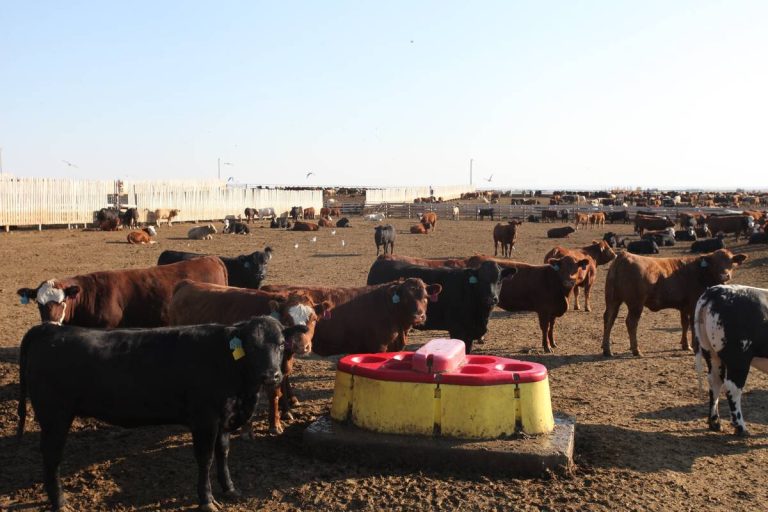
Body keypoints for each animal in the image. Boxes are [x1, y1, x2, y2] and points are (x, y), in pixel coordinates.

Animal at [16, 317, 304, 511]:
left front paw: (230, 489)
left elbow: (223, 453)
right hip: (55, 416)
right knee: (52, 458)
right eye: (252, 346)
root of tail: (51, 329)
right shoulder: (205, 420)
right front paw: (206, 500)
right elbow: (205, 459)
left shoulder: (224, 418)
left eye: (281, 344)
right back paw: (60, 502)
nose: (271, 375)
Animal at [168, 280, 330, 434]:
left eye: (313, 319)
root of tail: (187, 283)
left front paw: (275, 423)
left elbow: (275, 393)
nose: (301, 345)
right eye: (287, 319)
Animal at [601, 249, 747, 357]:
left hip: (613, 300)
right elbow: (692, 325)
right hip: (636, 304)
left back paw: (607, 349)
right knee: (631, 323)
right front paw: (695, 346)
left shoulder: (684, 306)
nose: (725, 275)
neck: (700, 271)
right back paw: (636, 350)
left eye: (731, 262)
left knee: (609, 319)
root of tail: (624, 256)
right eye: (715, 263)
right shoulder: (694, 304)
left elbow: (684, 324)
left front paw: (686, 345)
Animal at [694, 285, 768, 436]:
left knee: (715, 381)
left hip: (711, 354)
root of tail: (715, 290)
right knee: (733, 388)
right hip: (739, 360)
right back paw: (740, 427)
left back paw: (715, 423)